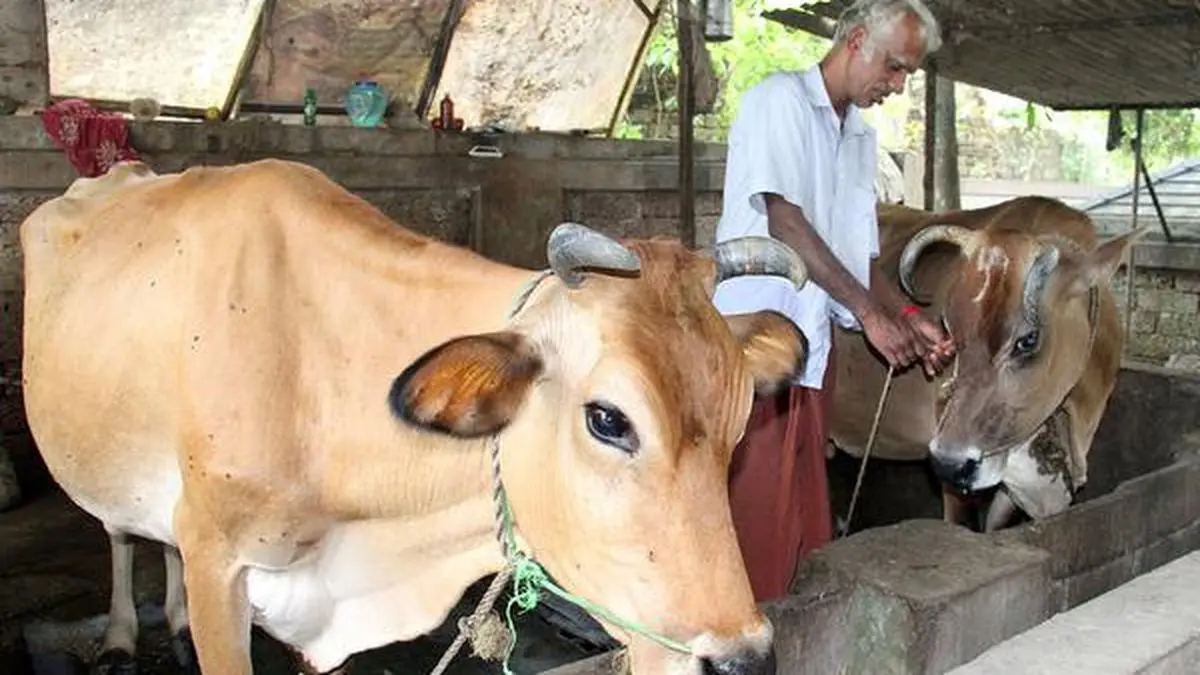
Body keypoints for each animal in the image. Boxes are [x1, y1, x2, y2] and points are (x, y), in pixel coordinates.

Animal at [20, 158, 812, 675]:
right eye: (608, 419)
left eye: (743, 417)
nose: (743, 660)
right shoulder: (220, 560)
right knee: (120, 532)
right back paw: (123, 635)